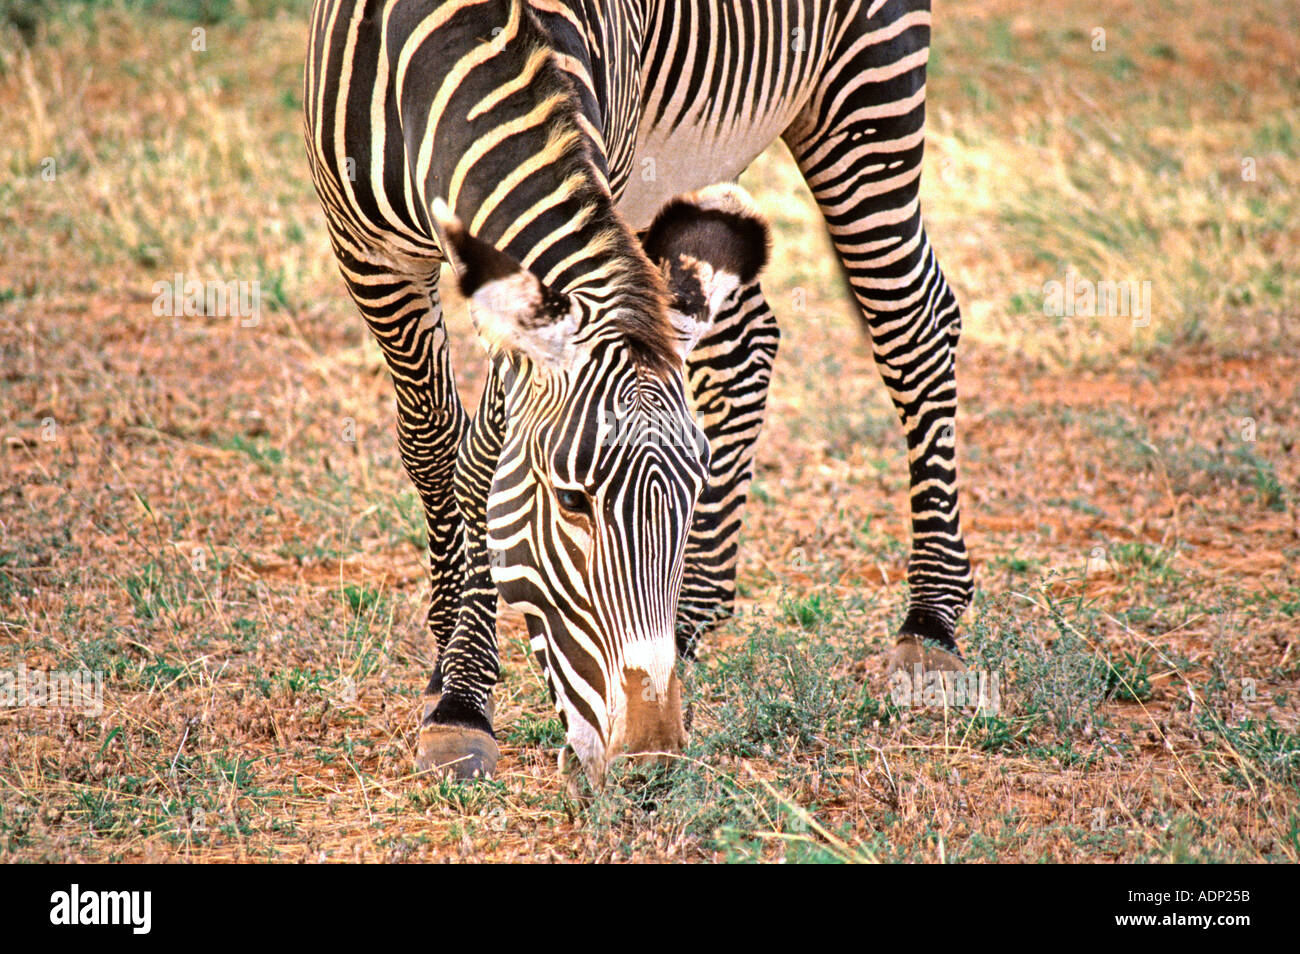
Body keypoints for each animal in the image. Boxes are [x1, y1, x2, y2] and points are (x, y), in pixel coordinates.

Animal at [304, 0, 973, 783]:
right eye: (570, 502)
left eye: (693, 489)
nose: (652, 757)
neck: (462, 37)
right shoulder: (365, 252)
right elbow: (437, 446)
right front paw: (455, 677)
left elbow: (481, 458)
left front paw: (464, 693)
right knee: (749, 341)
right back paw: (694, 616)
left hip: (868, 89)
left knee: (915, 323)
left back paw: (929, 622)